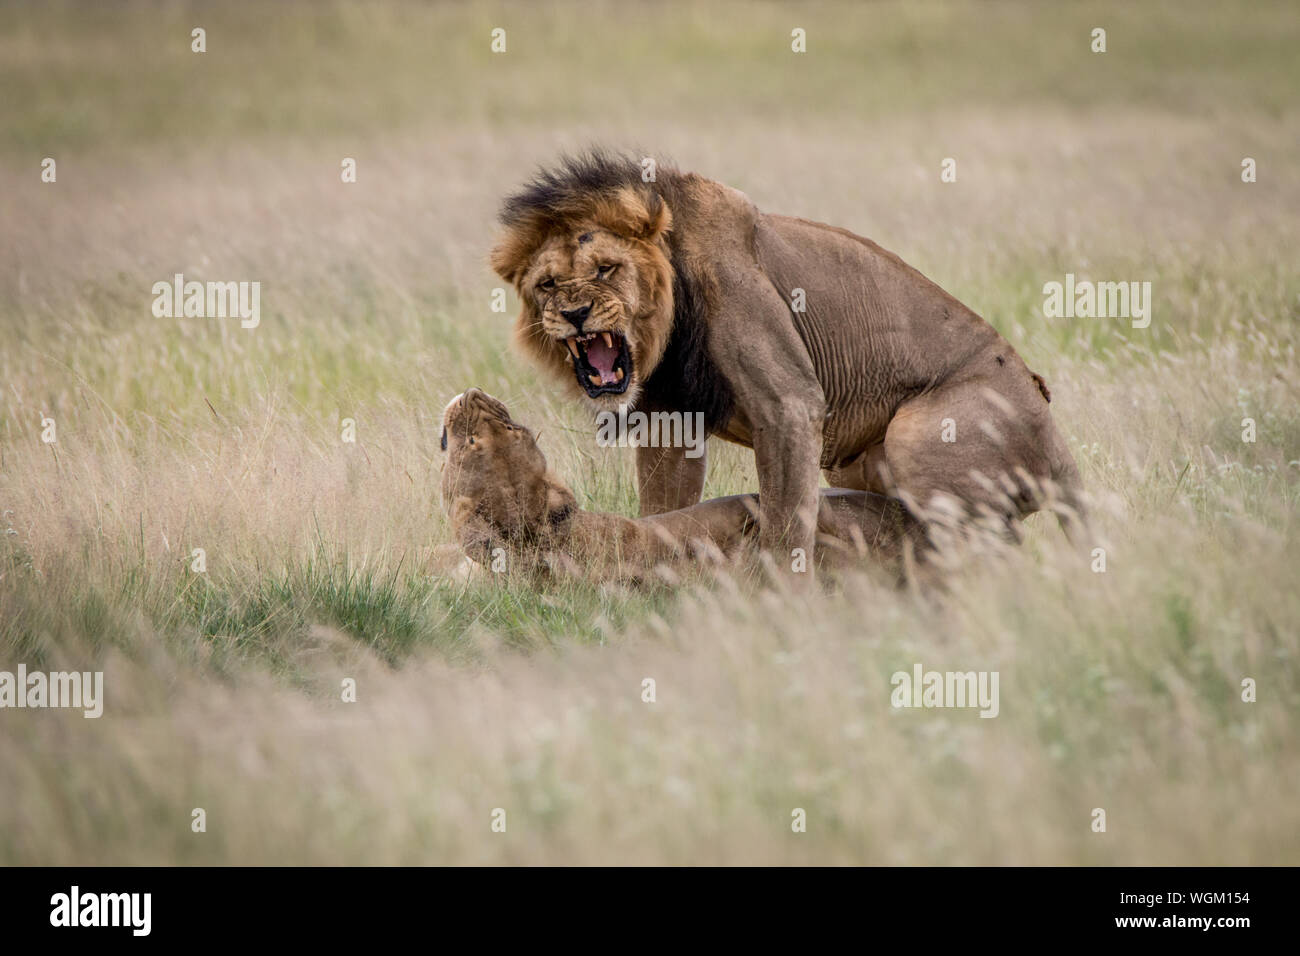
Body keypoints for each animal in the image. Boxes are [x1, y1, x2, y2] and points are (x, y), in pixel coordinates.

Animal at [490, 151, 1085, 577]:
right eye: (547, 284)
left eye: (606, 269)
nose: (575, 313)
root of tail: (1059, 446)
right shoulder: (670, 419)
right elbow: (661, 508)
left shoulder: (790, 407)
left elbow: (785, 527)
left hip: (918, 432)